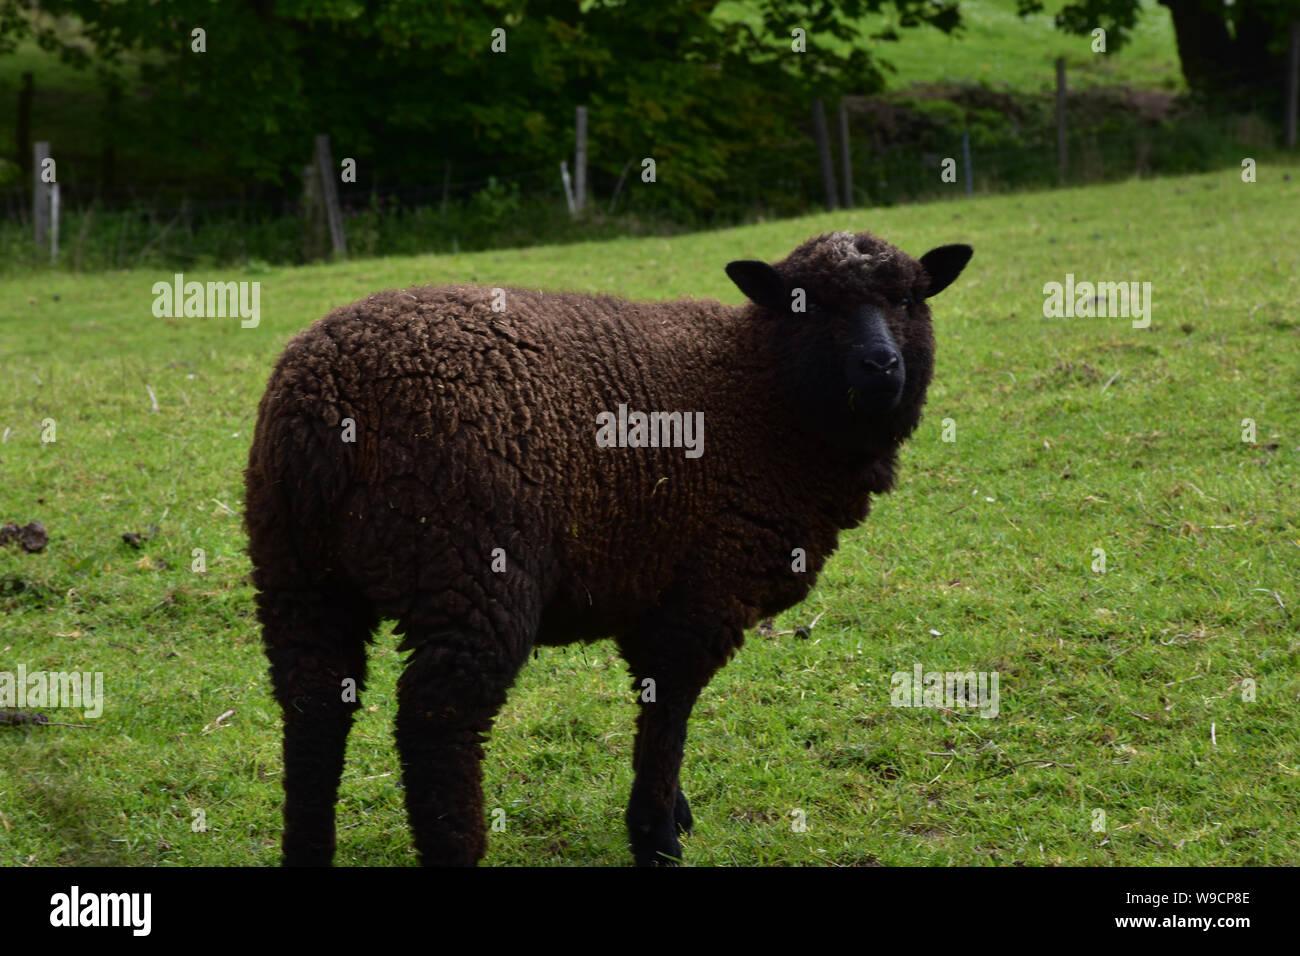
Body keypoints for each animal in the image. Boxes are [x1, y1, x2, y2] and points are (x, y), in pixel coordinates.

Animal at [244, 230, 972, 866]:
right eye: (808, 304)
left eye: (909, 299)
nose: (881, 366)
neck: (761, 388)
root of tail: (329, 395)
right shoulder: (704, 588)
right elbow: (670, 708)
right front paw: (655, 838)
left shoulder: (653, 588)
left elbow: (658, 715)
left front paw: (671, 811)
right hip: (468, 571)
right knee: (437, 718)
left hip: (296, 572)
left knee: (312, 705)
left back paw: (308, 851)